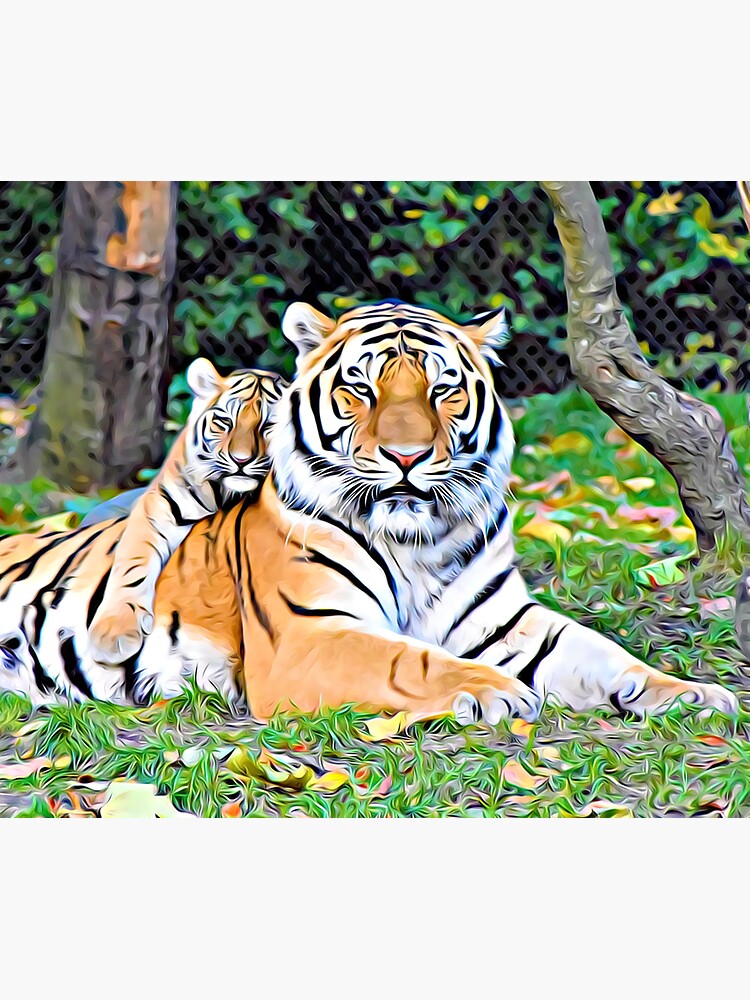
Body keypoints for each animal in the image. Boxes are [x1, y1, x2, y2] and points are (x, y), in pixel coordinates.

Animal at [0, 300, 739, 723]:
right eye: (360, 388)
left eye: (443, 390)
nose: (407, 456)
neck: (420, 539)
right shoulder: (308, 636)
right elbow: (409, 661)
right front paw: (496, 689)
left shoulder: (507, 620)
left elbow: (606, 653)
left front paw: (693, 694)